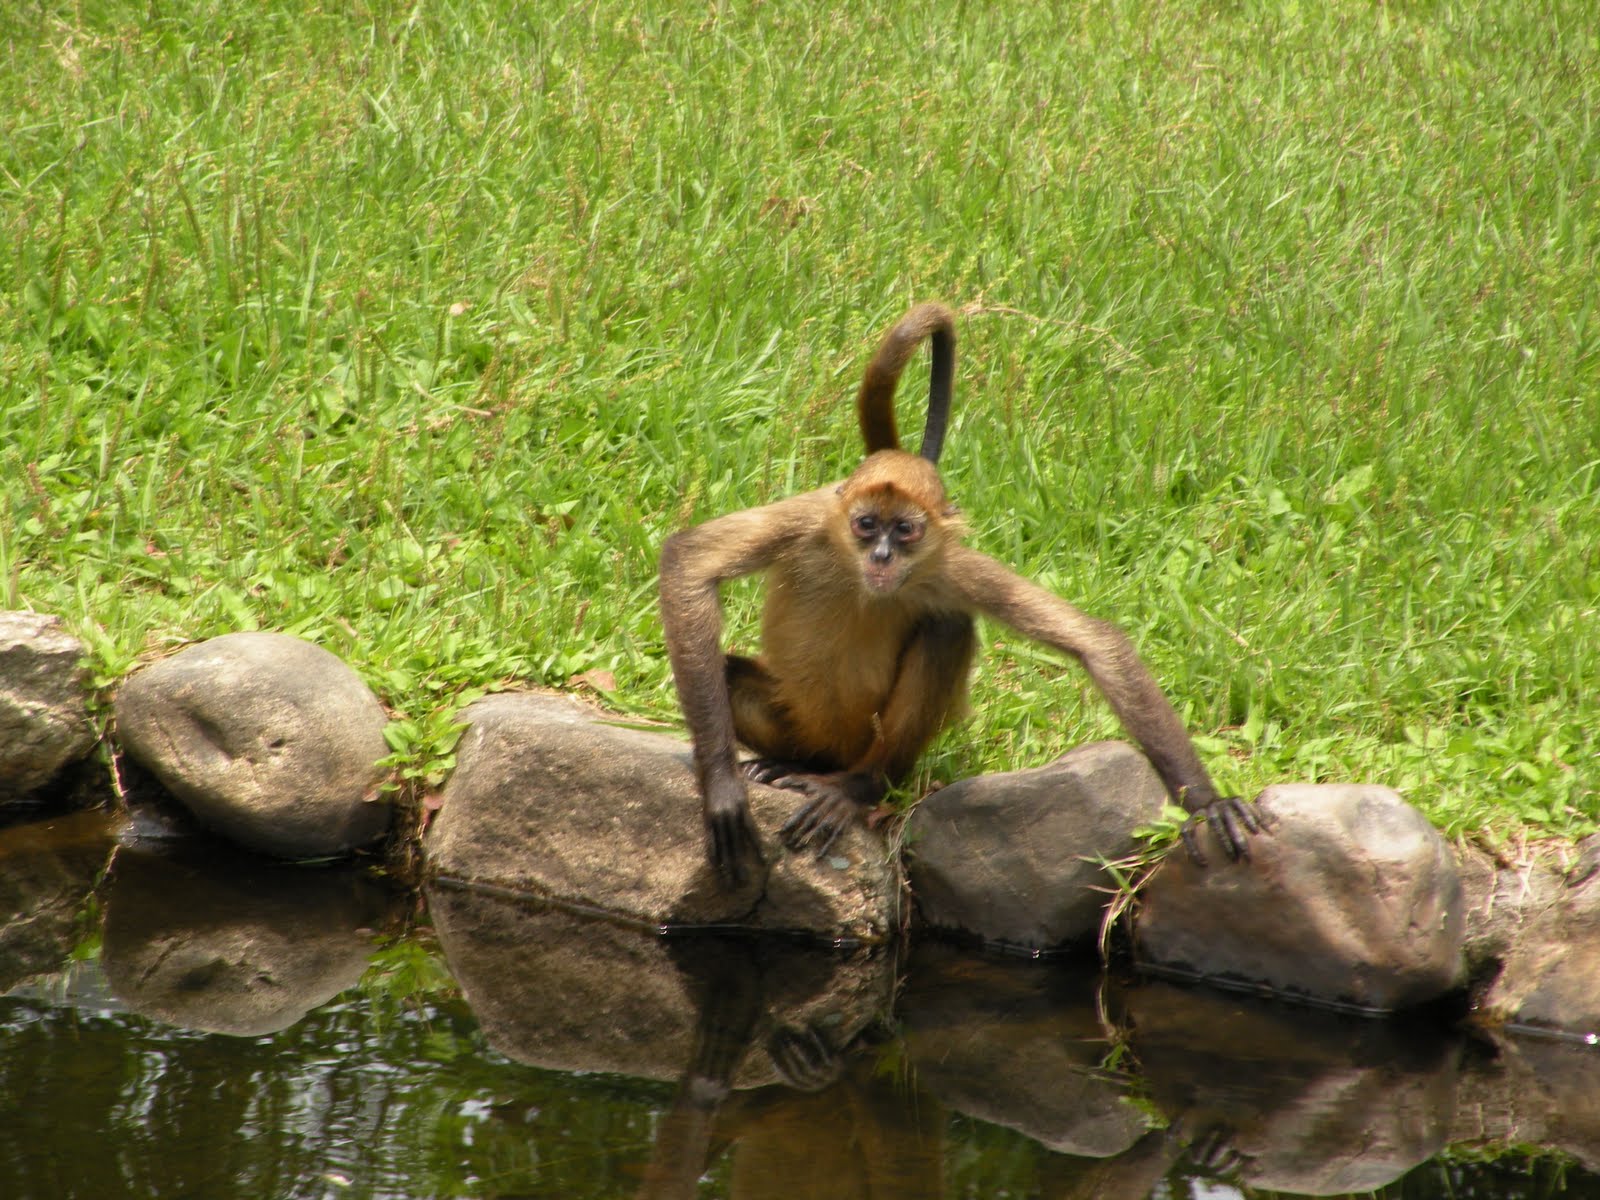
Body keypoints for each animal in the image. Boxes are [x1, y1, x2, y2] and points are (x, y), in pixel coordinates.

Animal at [659, 303, 1261, 886]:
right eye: (866, 525)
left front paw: (1207, 804)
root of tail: (833, 750)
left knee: (946, 627)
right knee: (733, 674)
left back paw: (858, 787)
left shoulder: (947, 565)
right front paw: (723, 789)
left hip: (868, 737)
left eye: (905, 531)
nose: (881, 556)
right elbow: (688, 562)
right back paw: (786, 765)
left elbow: (1096, 643)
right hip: (796, 718)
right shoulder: (812, 517)